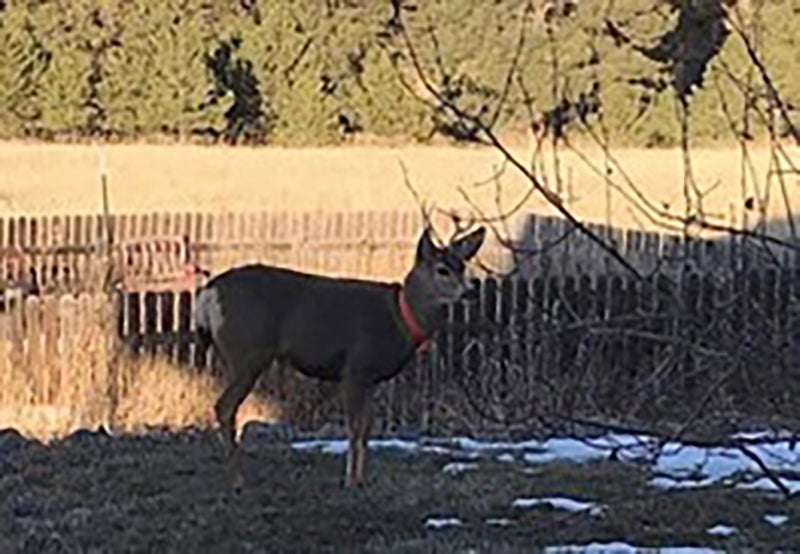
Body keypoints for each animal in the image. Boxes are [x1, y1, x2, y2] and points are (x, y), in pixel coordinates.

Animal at [194, 224, 486, 488]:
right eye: (442, 269)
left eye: (462, 266)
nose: (470, 291)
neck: (401, 317)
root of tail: (209, 292)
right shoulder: (355, 367)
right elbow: (354, 427)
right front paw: (349, 480)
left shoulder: (371, 378)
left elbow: (367, 429)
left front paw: (362, 479)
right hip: (248, 351)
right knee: (224, 406)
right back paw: (237, 480)